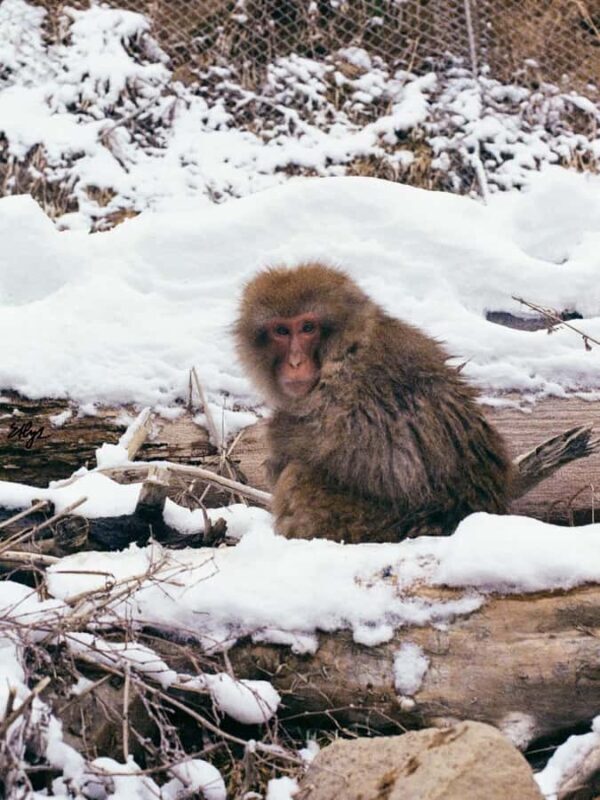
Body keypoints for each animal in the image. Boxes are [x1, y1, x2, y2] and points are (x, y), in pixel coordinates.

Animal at [235, 262, 512, 543]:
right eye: (281, 331)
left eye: (307, 327)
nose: (295, 362)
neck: (344, 348)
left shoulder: (348, 388)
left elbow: (385, 463)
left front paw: (280, 440)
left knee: (298, 478)